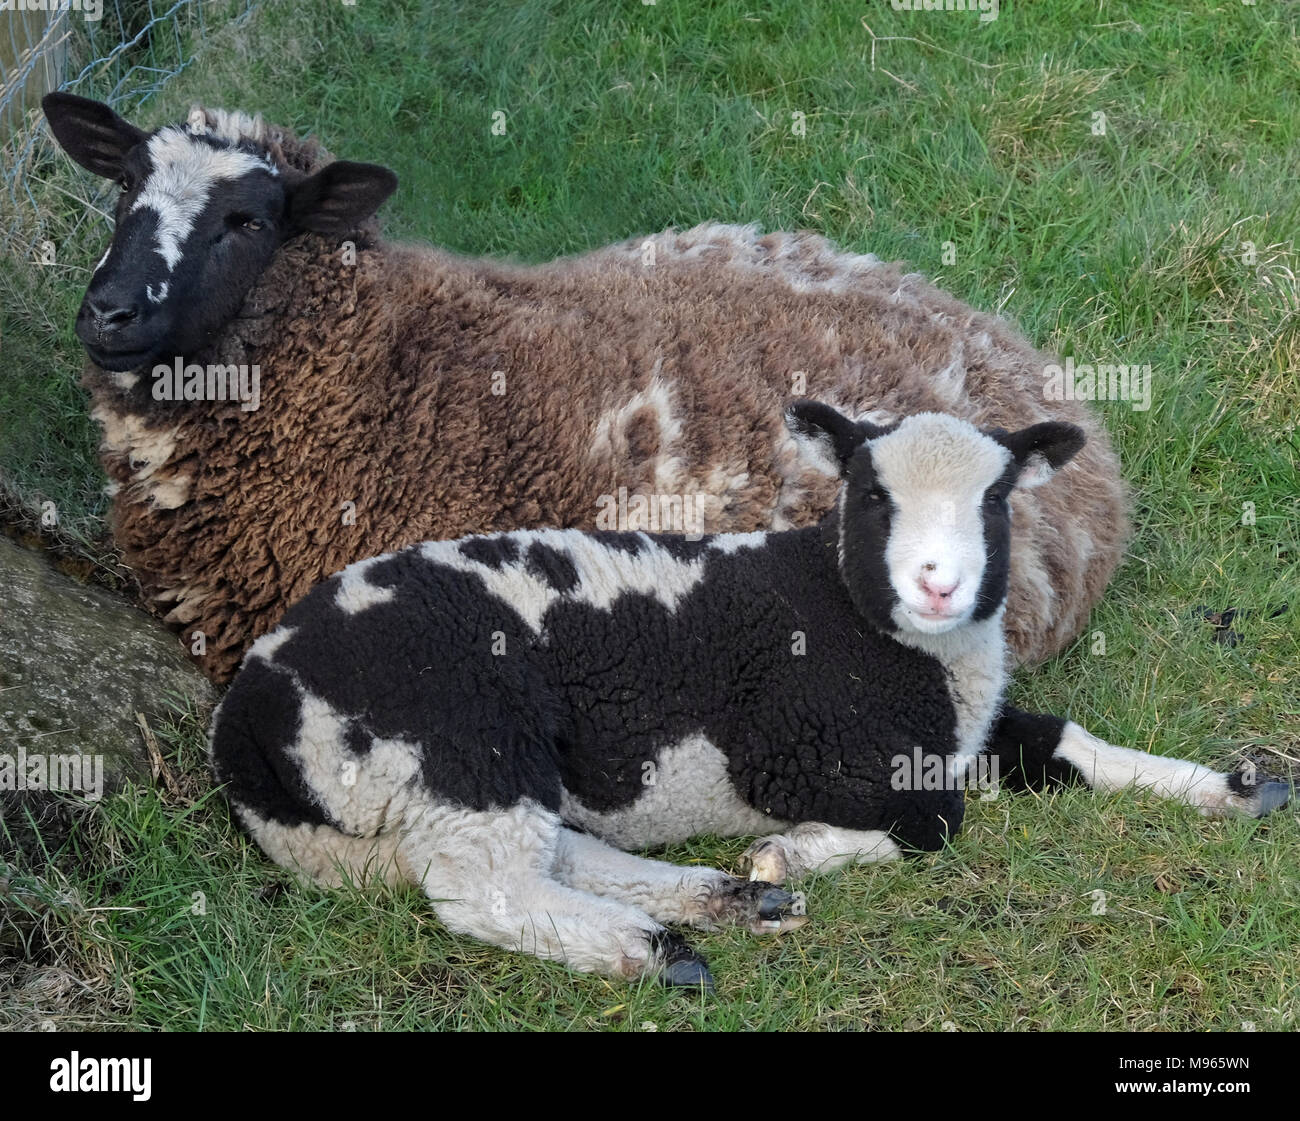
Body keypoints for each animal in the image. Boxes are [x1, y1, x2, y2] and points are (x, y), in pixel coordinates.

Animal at [208, 402, 1289, 988]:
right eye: (872, 495)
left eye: (994, 499)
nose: (939, 583)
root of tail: (250, 713)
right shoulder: (802, 750)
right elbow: (937, 823)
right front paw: (800, 846)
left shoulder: (950, 729)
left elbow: (1068, 742)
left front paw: (1235, 787)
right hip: (460, 736)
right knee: (484, 889)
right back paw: (657, 946)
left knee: (553, 849)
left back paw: (721, 899)